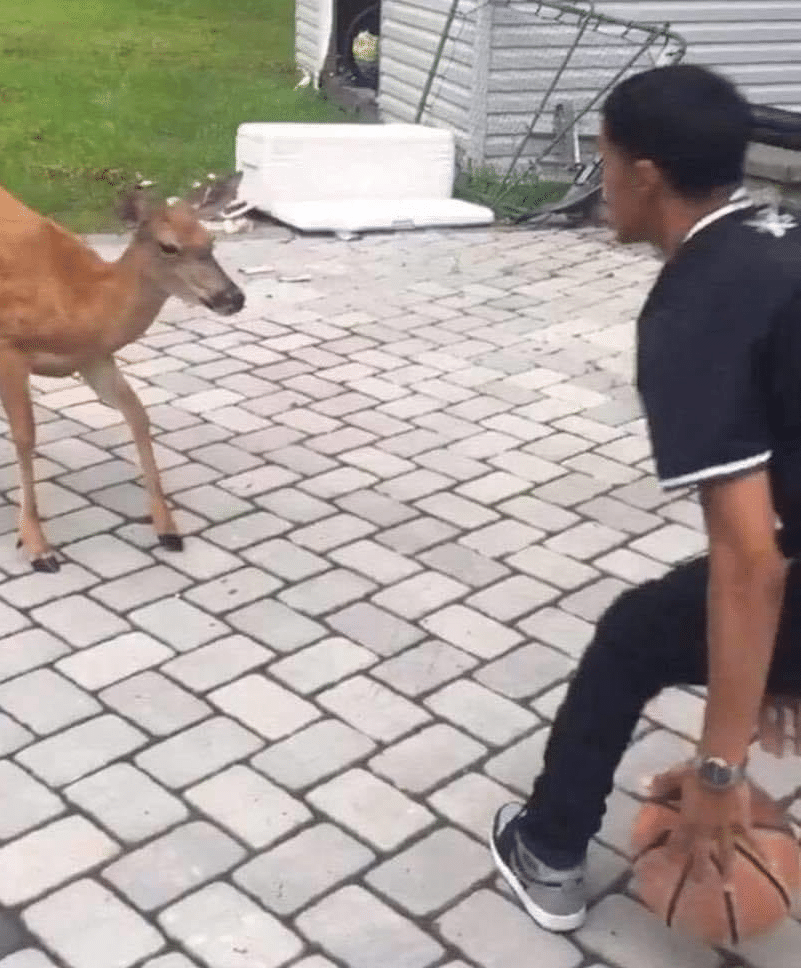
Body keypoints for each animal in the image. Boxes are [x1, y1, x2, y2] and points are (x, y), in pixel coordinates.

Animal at [0, 174, 245, 572]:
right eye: (168, 246)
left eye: (211, 241)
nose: (234, 298)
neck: (81, 304)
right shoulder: (8, 347)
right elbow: (25, 437)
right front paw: (37, 546)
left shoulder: (95, 359)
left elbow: (138, 415)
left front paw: (167, 528)